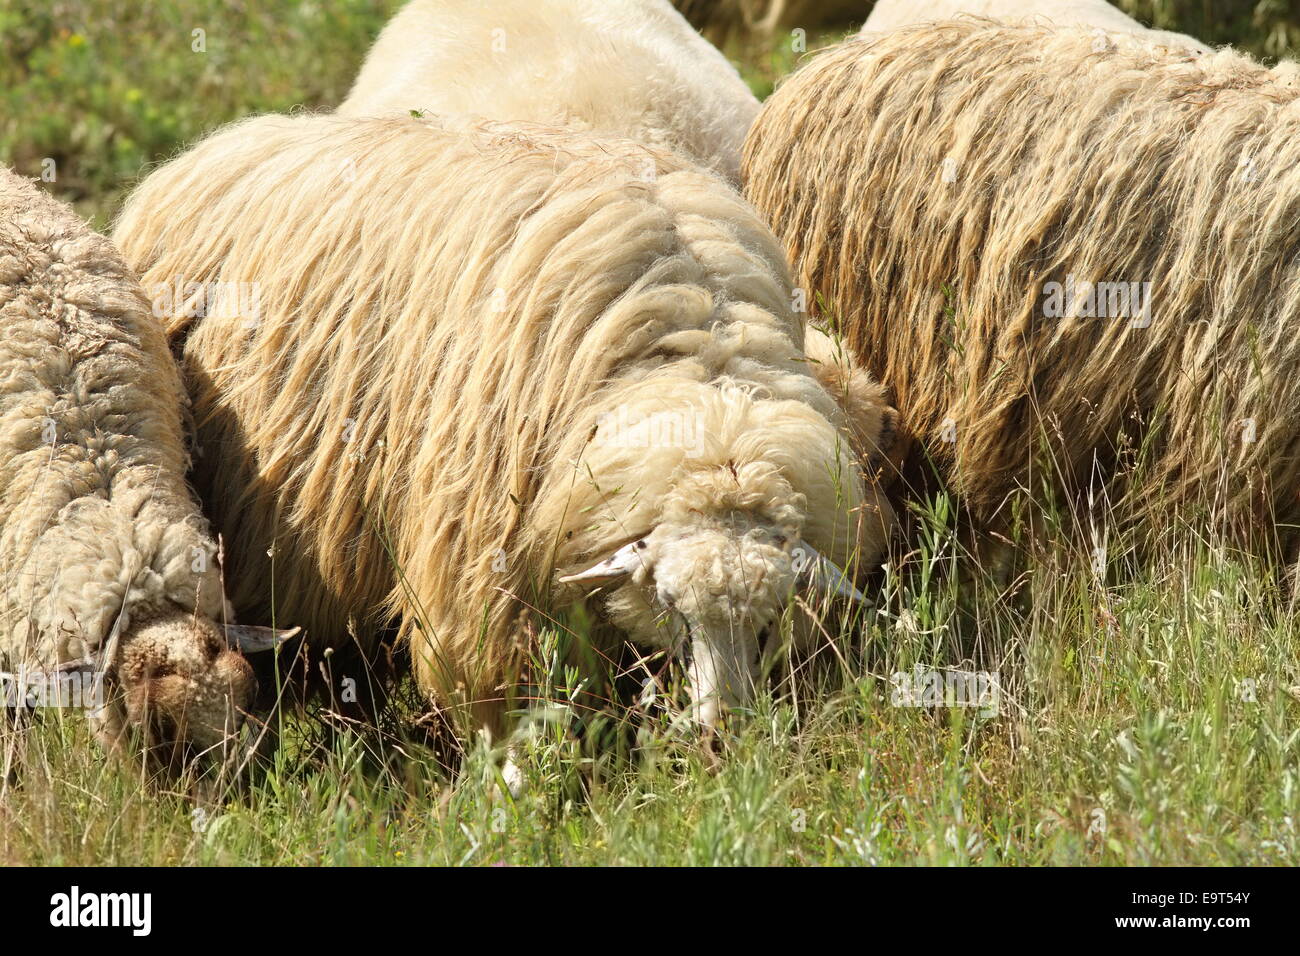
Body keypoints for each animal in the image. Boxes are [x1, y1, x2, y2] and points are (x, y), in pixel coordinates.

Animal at [110, 113, 898, 762]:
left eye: (767, 620)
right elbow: (502, 696)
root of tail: (209, 146)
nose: (720, 737)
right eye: (671, 606)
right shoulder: (480, 564)